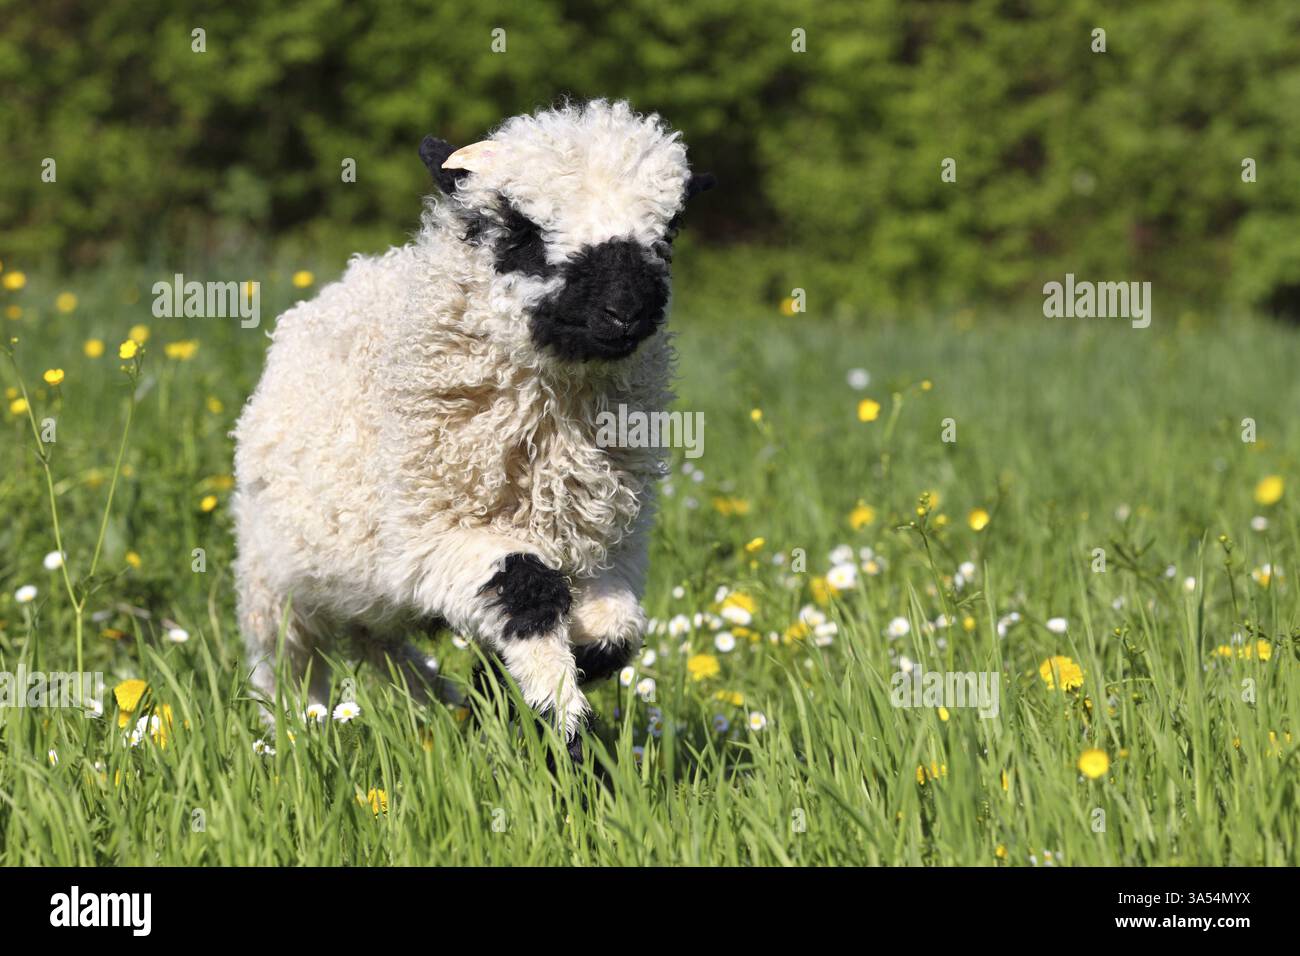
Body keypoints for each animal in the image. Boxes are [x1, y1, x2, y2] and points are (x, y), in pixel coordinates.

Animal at [232, 99, 714, 758]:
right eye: (522, 231)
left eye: (666, 234)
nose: (625, 311)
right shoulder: (429, 537)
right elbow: (528, 591)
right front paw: (564, 730)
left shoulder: (614, 547)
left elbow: (616, 636)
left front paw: (510, 692)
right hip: (275, 575)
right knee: (287, 658)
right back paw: (291, 729)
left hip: (362, 587)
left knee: (378, 644)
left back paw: (443, 706)